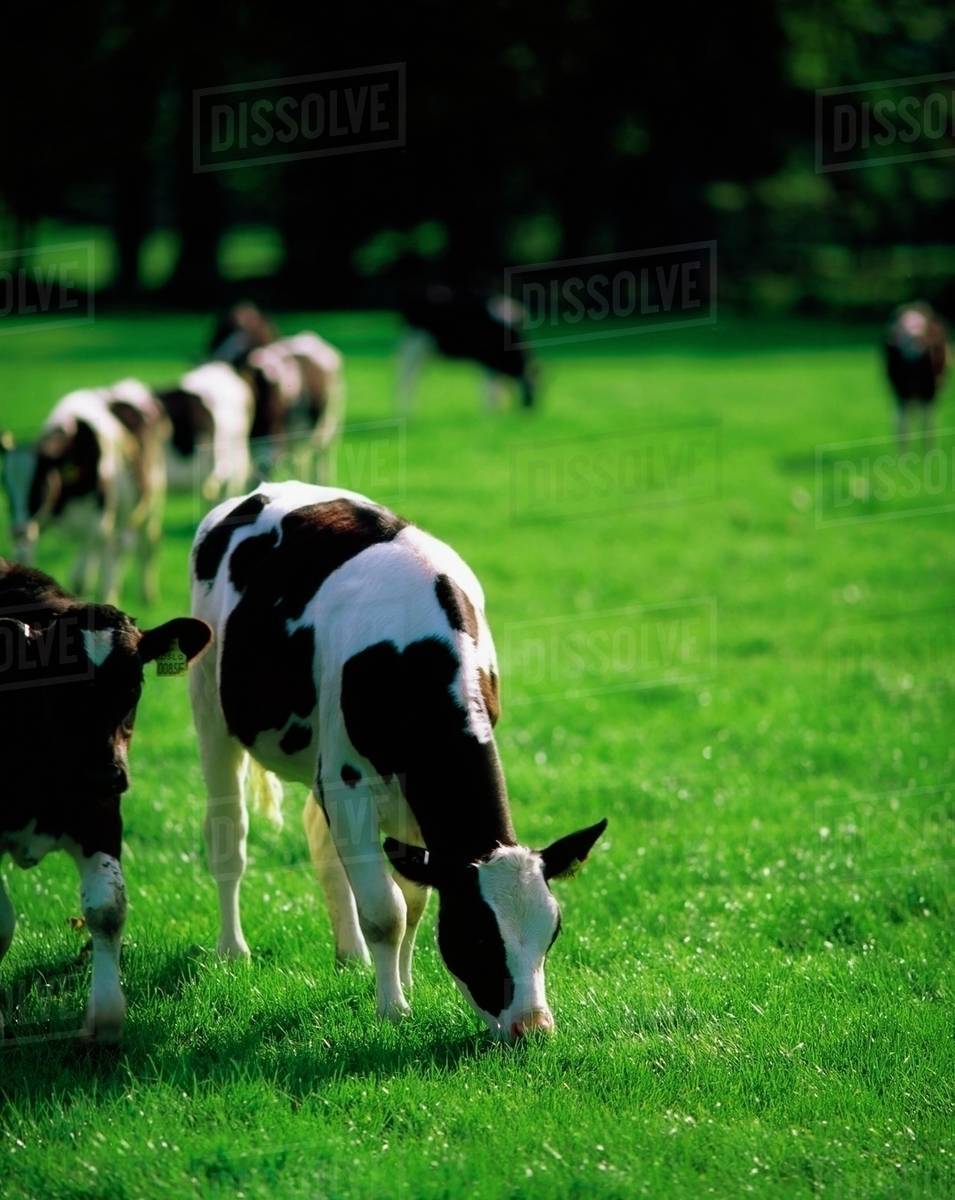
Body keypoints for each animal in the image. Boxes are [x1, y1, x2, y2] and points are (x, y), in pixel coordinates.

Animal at [0, 380, 168, 604]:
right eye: (6, 484)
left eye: (39, 484)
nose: (17, 530)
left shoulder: (99, 525)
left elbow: (89, 577)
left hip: (150, 502)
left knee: (142, 547)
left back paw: (146, 595)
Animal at [0, 558, 211, 1041]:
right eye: (60, 688)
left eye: (133, 684)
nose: (106, 773)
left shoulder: (99, 814)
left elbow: (108, 908)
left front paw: (105, 1017)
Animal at [189, 482, 606, 1041]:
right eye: (478, 936)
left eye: (552, 933)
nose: (532, 1028)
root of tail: (260, 492)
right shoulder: (347, 784)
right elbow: (386, 911)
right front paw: (393, 1009)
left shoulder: (404, 793)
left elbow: (415, 899)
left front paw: (404, 981)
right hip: (211, 708)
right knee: (228, 834)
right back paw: (233, 950)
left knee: (319, 838)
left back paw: (350, 955)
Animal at [397, 285, 538, 413]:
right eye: (536, 385)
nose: (530, 409)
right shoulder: (486, 358)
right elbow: (488, 387)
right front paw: (489, 413)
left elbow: (492, 386)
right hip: (418, 343)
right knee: (407, 375)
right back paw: (406, 411)